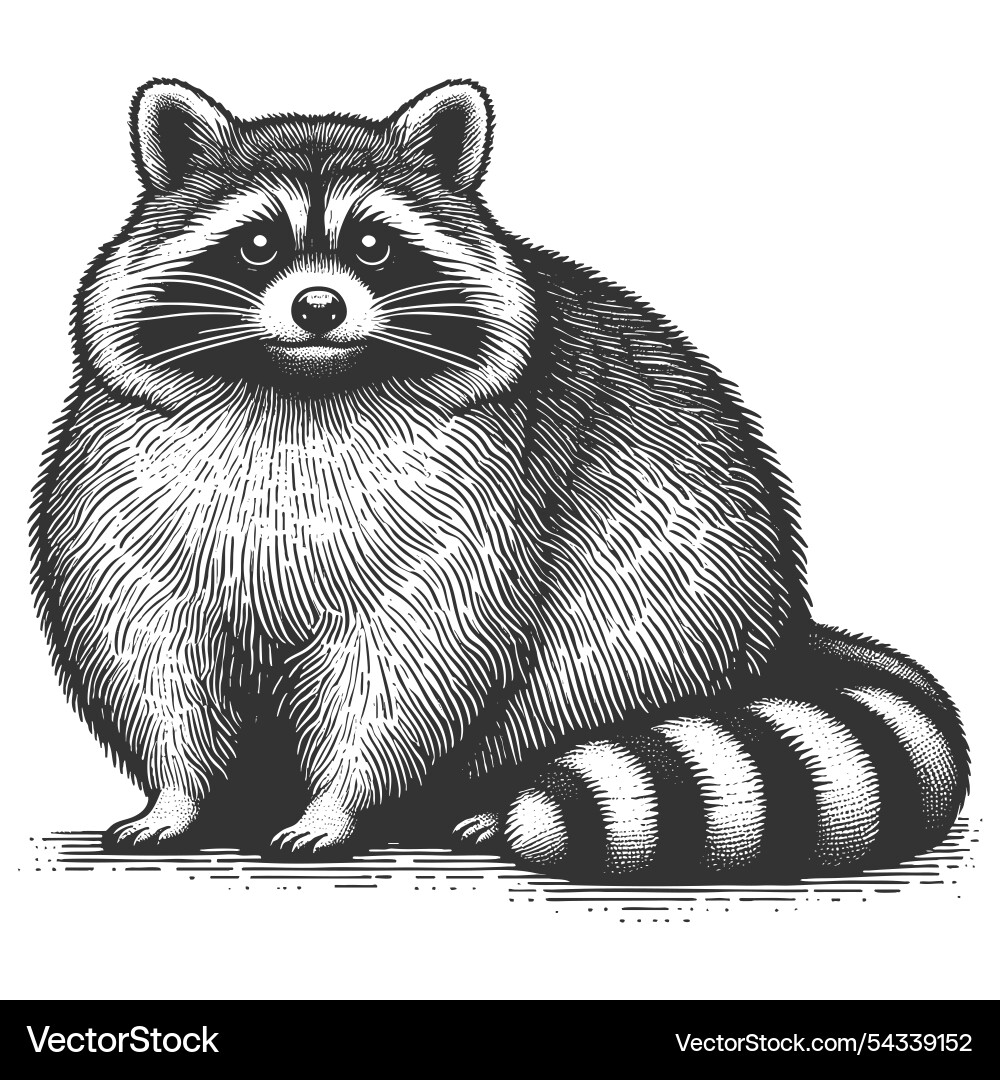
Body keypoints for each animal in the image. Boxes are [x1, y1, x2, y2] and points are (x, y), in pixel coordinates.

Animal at [31, 79, 967, 880]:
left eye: (372, 244)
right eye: (257, 244)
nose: (319, 307)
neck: (299, 390)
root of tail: (782, 637)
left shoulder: (467, 496)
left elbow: (407, 662)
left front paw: (336, 803)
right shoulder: (132, 481)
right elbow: (152, 653)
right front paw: (179, 793)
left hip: (672, 606)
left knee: (586, 659)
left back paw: (491, 794)